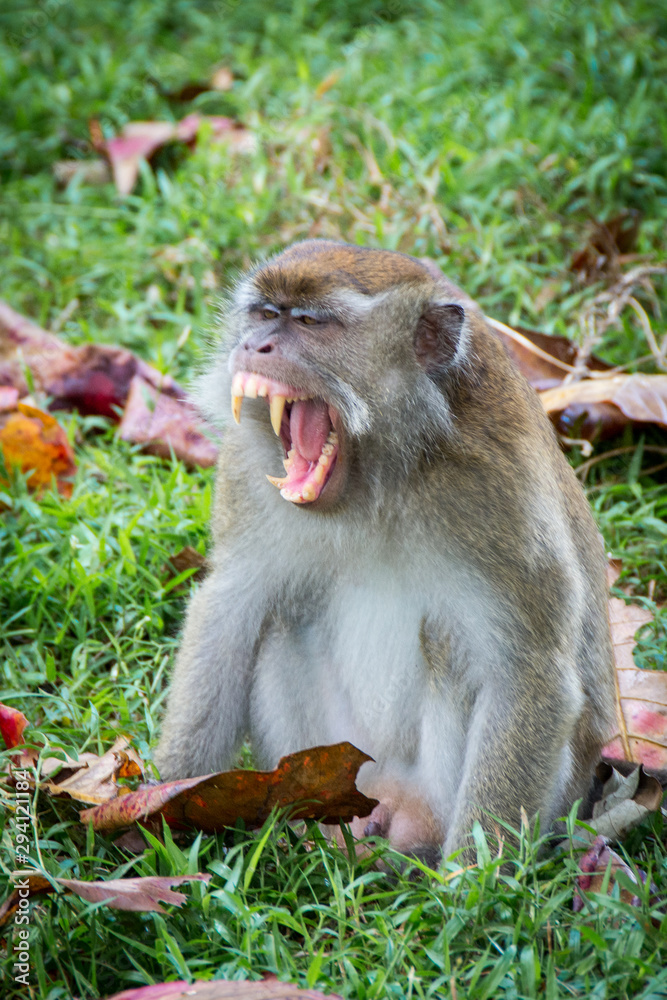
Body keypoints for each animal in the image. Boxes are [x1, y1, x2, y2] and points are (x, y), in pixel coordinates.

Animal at [154, 239, 616, 865]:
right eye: (264, 314)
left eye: (310, 323)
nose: (253, 346)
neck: (384, 474)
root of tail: (387, 794)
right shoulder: (248, 473)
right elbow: (232, 606)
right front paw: (161, 813)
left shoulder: (506, 495)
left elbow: (530, 671)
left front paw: (472, 883)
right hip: (343, 763)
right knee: (281, 616)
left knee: (451, 644)